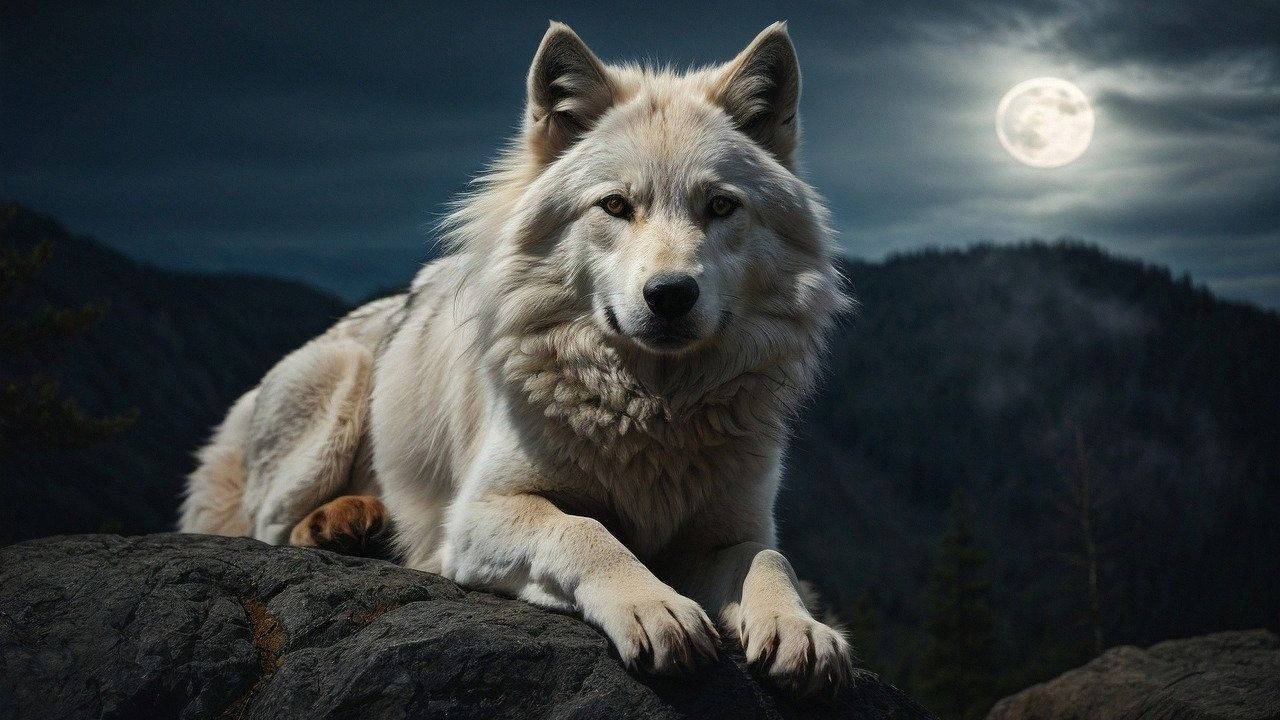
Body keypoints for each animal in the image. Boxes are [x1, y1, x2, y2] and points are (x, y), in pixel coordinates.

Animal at [180, 21, 854, 694]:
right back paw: (343, 522)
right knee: (270, 526)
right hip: (338, 386)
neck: (652, 412)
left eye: (720, 206)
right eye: (615, 206)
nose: (669, 294)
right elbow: (584, 532)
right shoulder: (478, 516)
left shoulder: (732, 532)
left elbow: (771, 560)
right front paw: (653, 607)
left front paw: (799, 628)